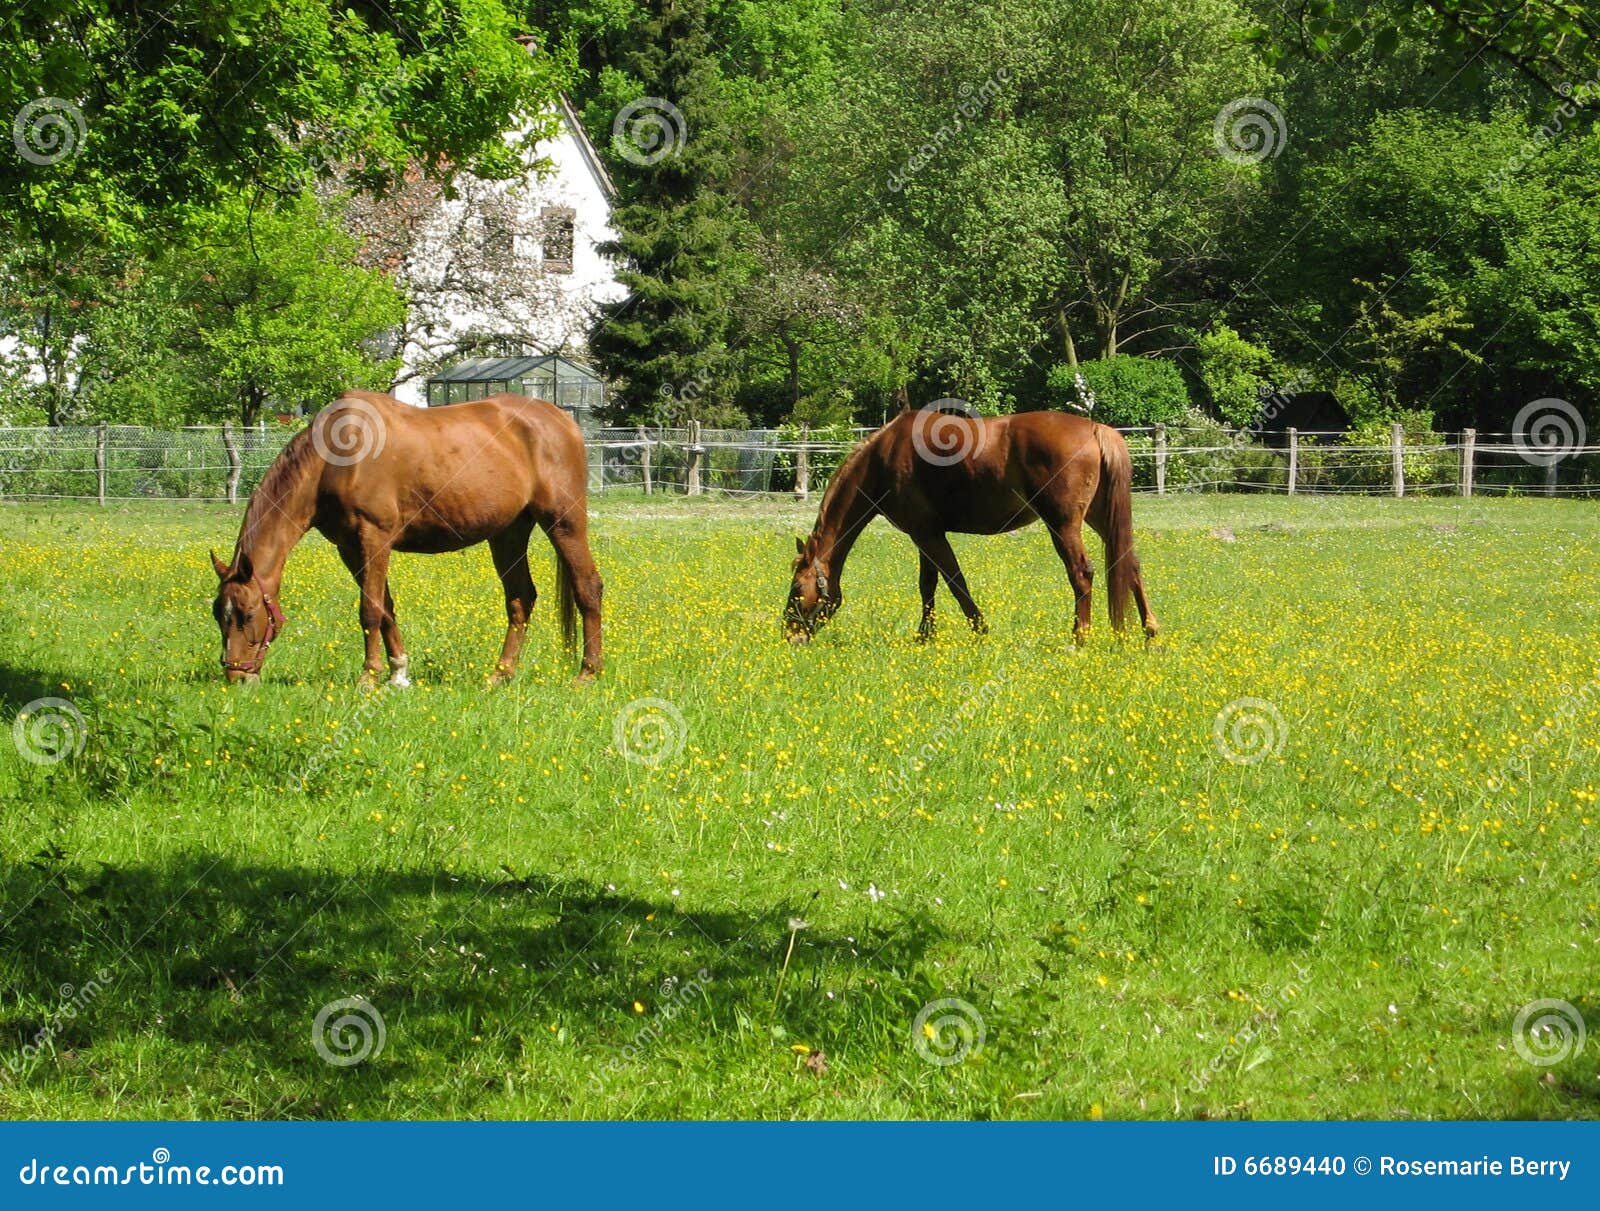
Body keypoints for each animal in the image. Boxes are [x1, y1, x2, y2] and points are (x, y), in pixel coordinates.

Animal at [210, 390, 603, 687]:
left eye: (246, 614)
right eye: (218, 614)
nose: (236, 675)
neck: (334, 462)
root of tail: (563, 421)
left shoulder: (374, 538)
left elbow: (369, 610)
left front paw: (369, 676)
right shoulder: (350, 548)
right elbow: (385, 608)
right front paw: (398, 673)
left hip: (563, 522)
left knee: (588, 587)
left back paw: (587, 673)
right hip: (509, 532)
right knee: (521, 599)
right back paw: (500, 675)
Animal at [783, 405, 1158, 646]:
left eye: (798, 588)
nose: (790, 635)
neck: (883, 458)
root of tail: (1096, 430)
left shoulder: (927, 534)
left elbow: (954, 582)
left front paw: (979, 630)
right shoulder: (925, 535)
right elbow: (928, 585)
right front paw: (924, 636)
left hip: (1063, 525)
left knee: (1081, 573)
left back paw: (1079, 638)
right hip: (1100, 518)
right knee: (1130, 563)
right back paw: (1150, 632)